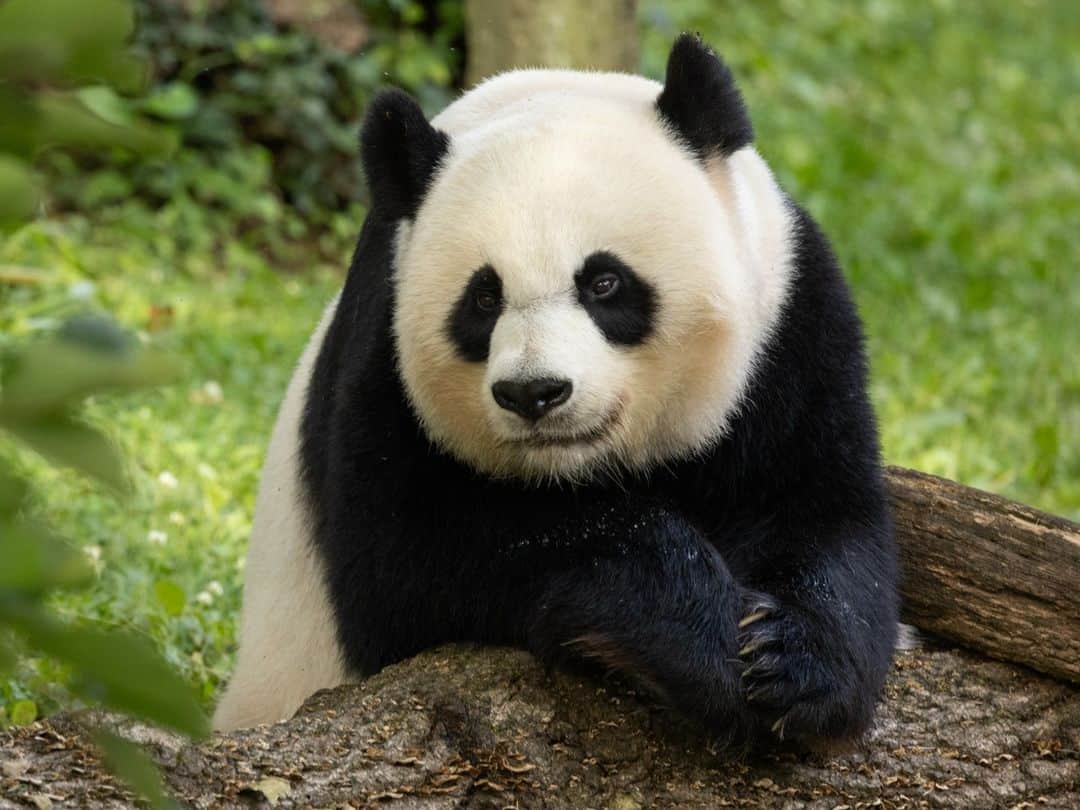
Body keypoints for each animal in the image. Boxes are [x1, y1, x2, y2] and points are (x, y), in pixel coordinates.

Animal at [213, 34, 899, 750]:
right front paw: (700, 639)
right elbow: (408, 565)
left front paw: (791, 665)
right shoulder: (382, 360)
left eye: (604, 283)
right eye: (483, 299)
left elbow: (821, 509)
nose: (533, 392)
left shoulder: (790, 326)